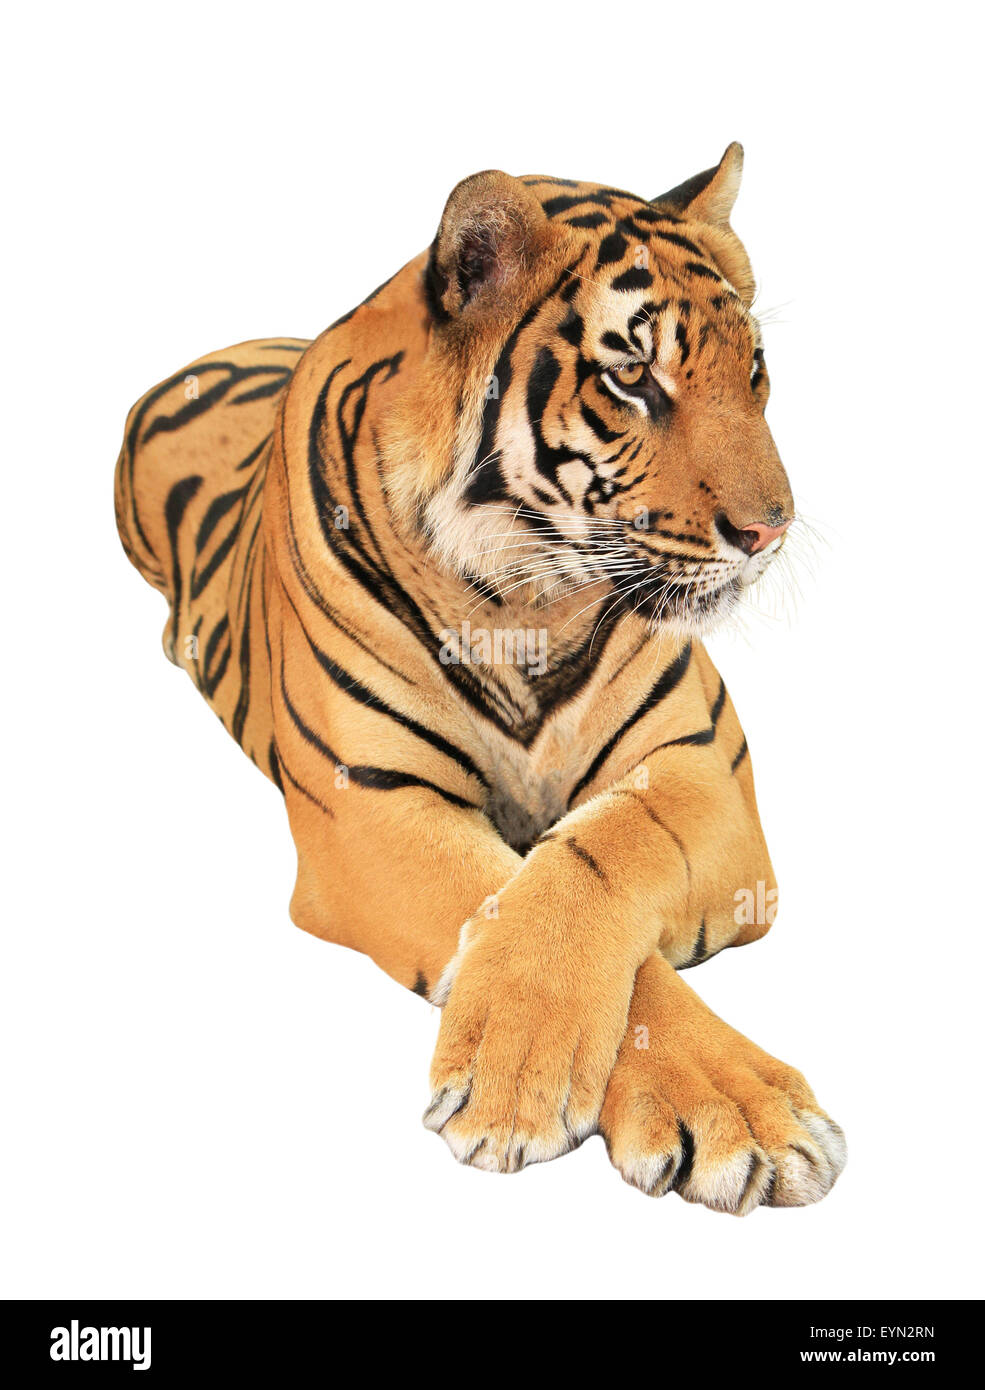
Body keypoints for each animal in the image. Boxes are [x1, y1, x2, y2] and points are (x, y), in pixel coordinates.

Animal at [114, 143, 846, 1214]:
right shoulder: (371, 806)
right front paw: (542, 1081)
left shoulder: (699, 766)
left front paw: (734, 1111)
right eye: (633, 376)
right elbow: (511, 900)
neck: (524, 605)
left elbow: (589, 861)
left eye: (751, 369)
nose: (769, 531)